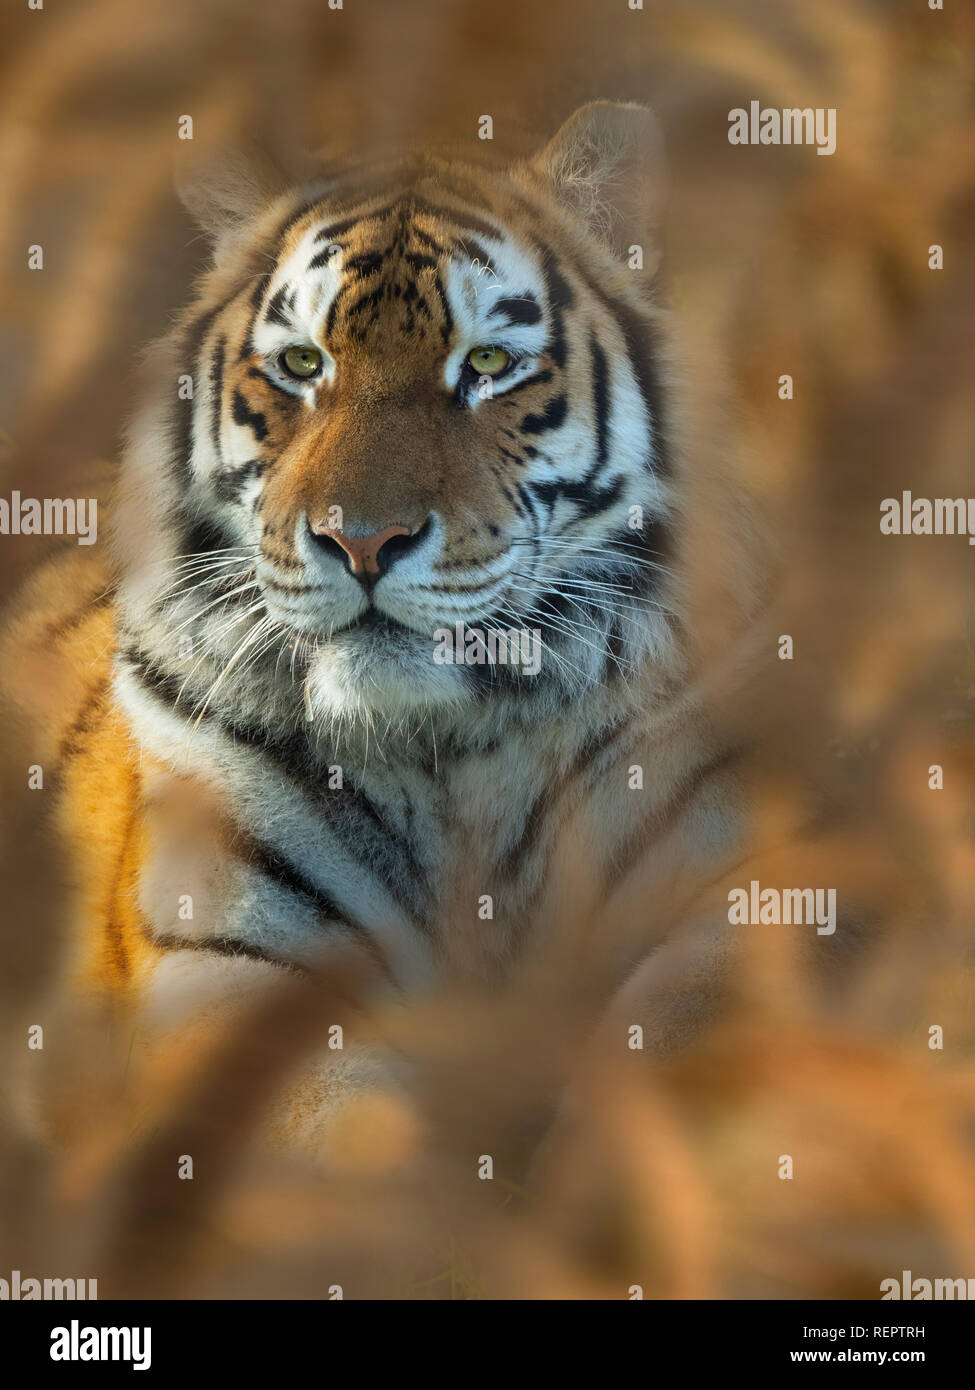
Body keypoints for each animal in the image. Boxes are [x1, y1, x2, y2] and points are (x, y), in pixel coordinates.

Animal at [4, 101, 765, 1149]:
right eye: (301, 364)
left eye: (486, 364)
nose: (361, 541)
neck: (448, 750)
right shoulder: (227, 963)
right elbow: (353, 1140)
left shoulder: (729, 900)